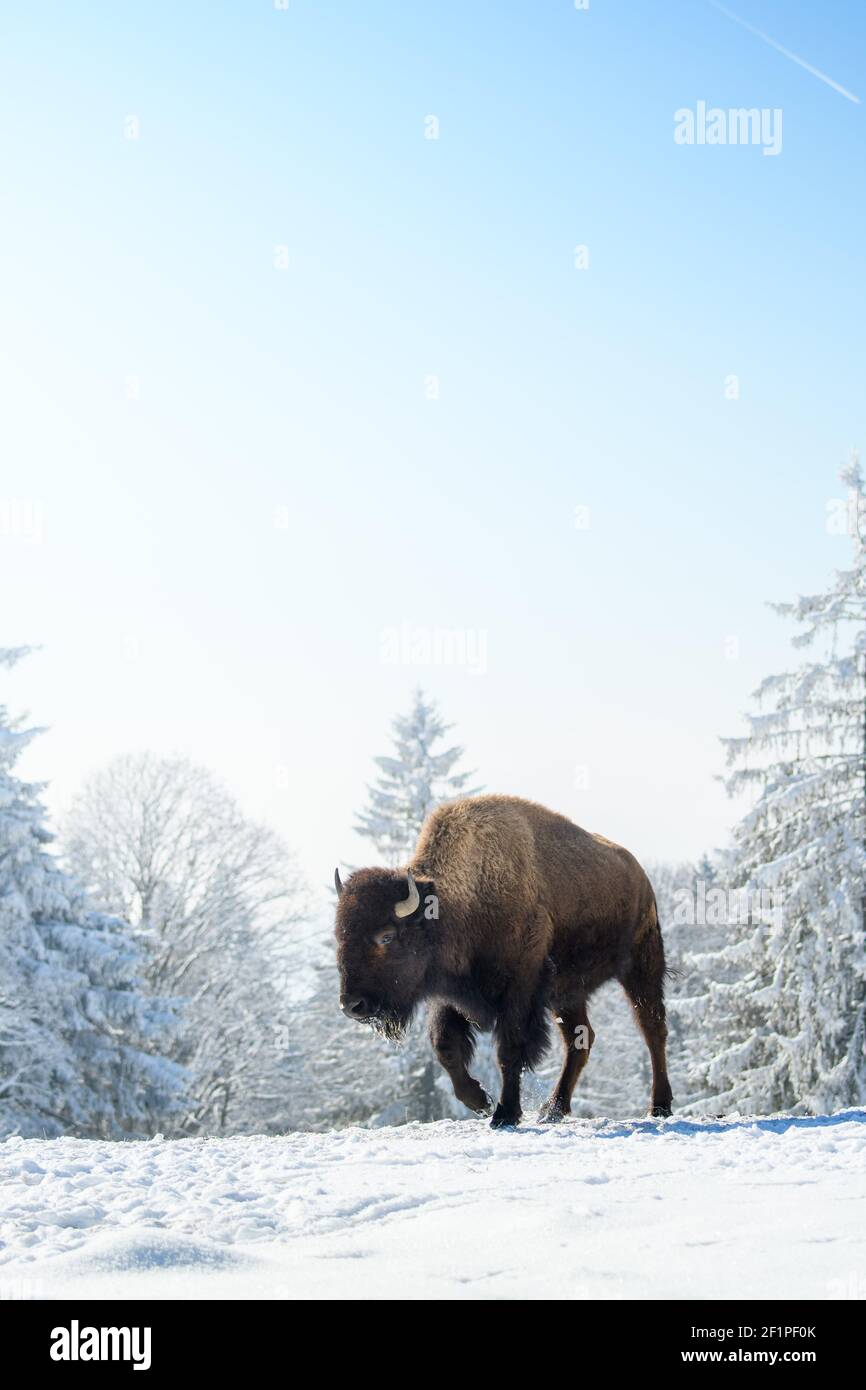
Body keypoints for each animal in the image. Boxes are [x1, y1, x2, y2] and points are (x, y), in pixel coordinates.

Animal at [335, 794, 672, 1128]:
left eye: (386, 936)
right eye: (339, 935)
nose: (352, 1006)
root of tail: (640, 874)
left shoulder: (520, 990)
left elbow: (508, 1051)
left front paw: (504, 1113)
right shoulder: (450, 995)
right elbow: (445, 1048)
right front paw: (480, 1101)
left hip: (642, 964)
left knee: (652, 1029)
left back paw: (659, 1106)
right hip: (567, 992)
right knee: (580, 1040)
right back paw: (553, 1109)